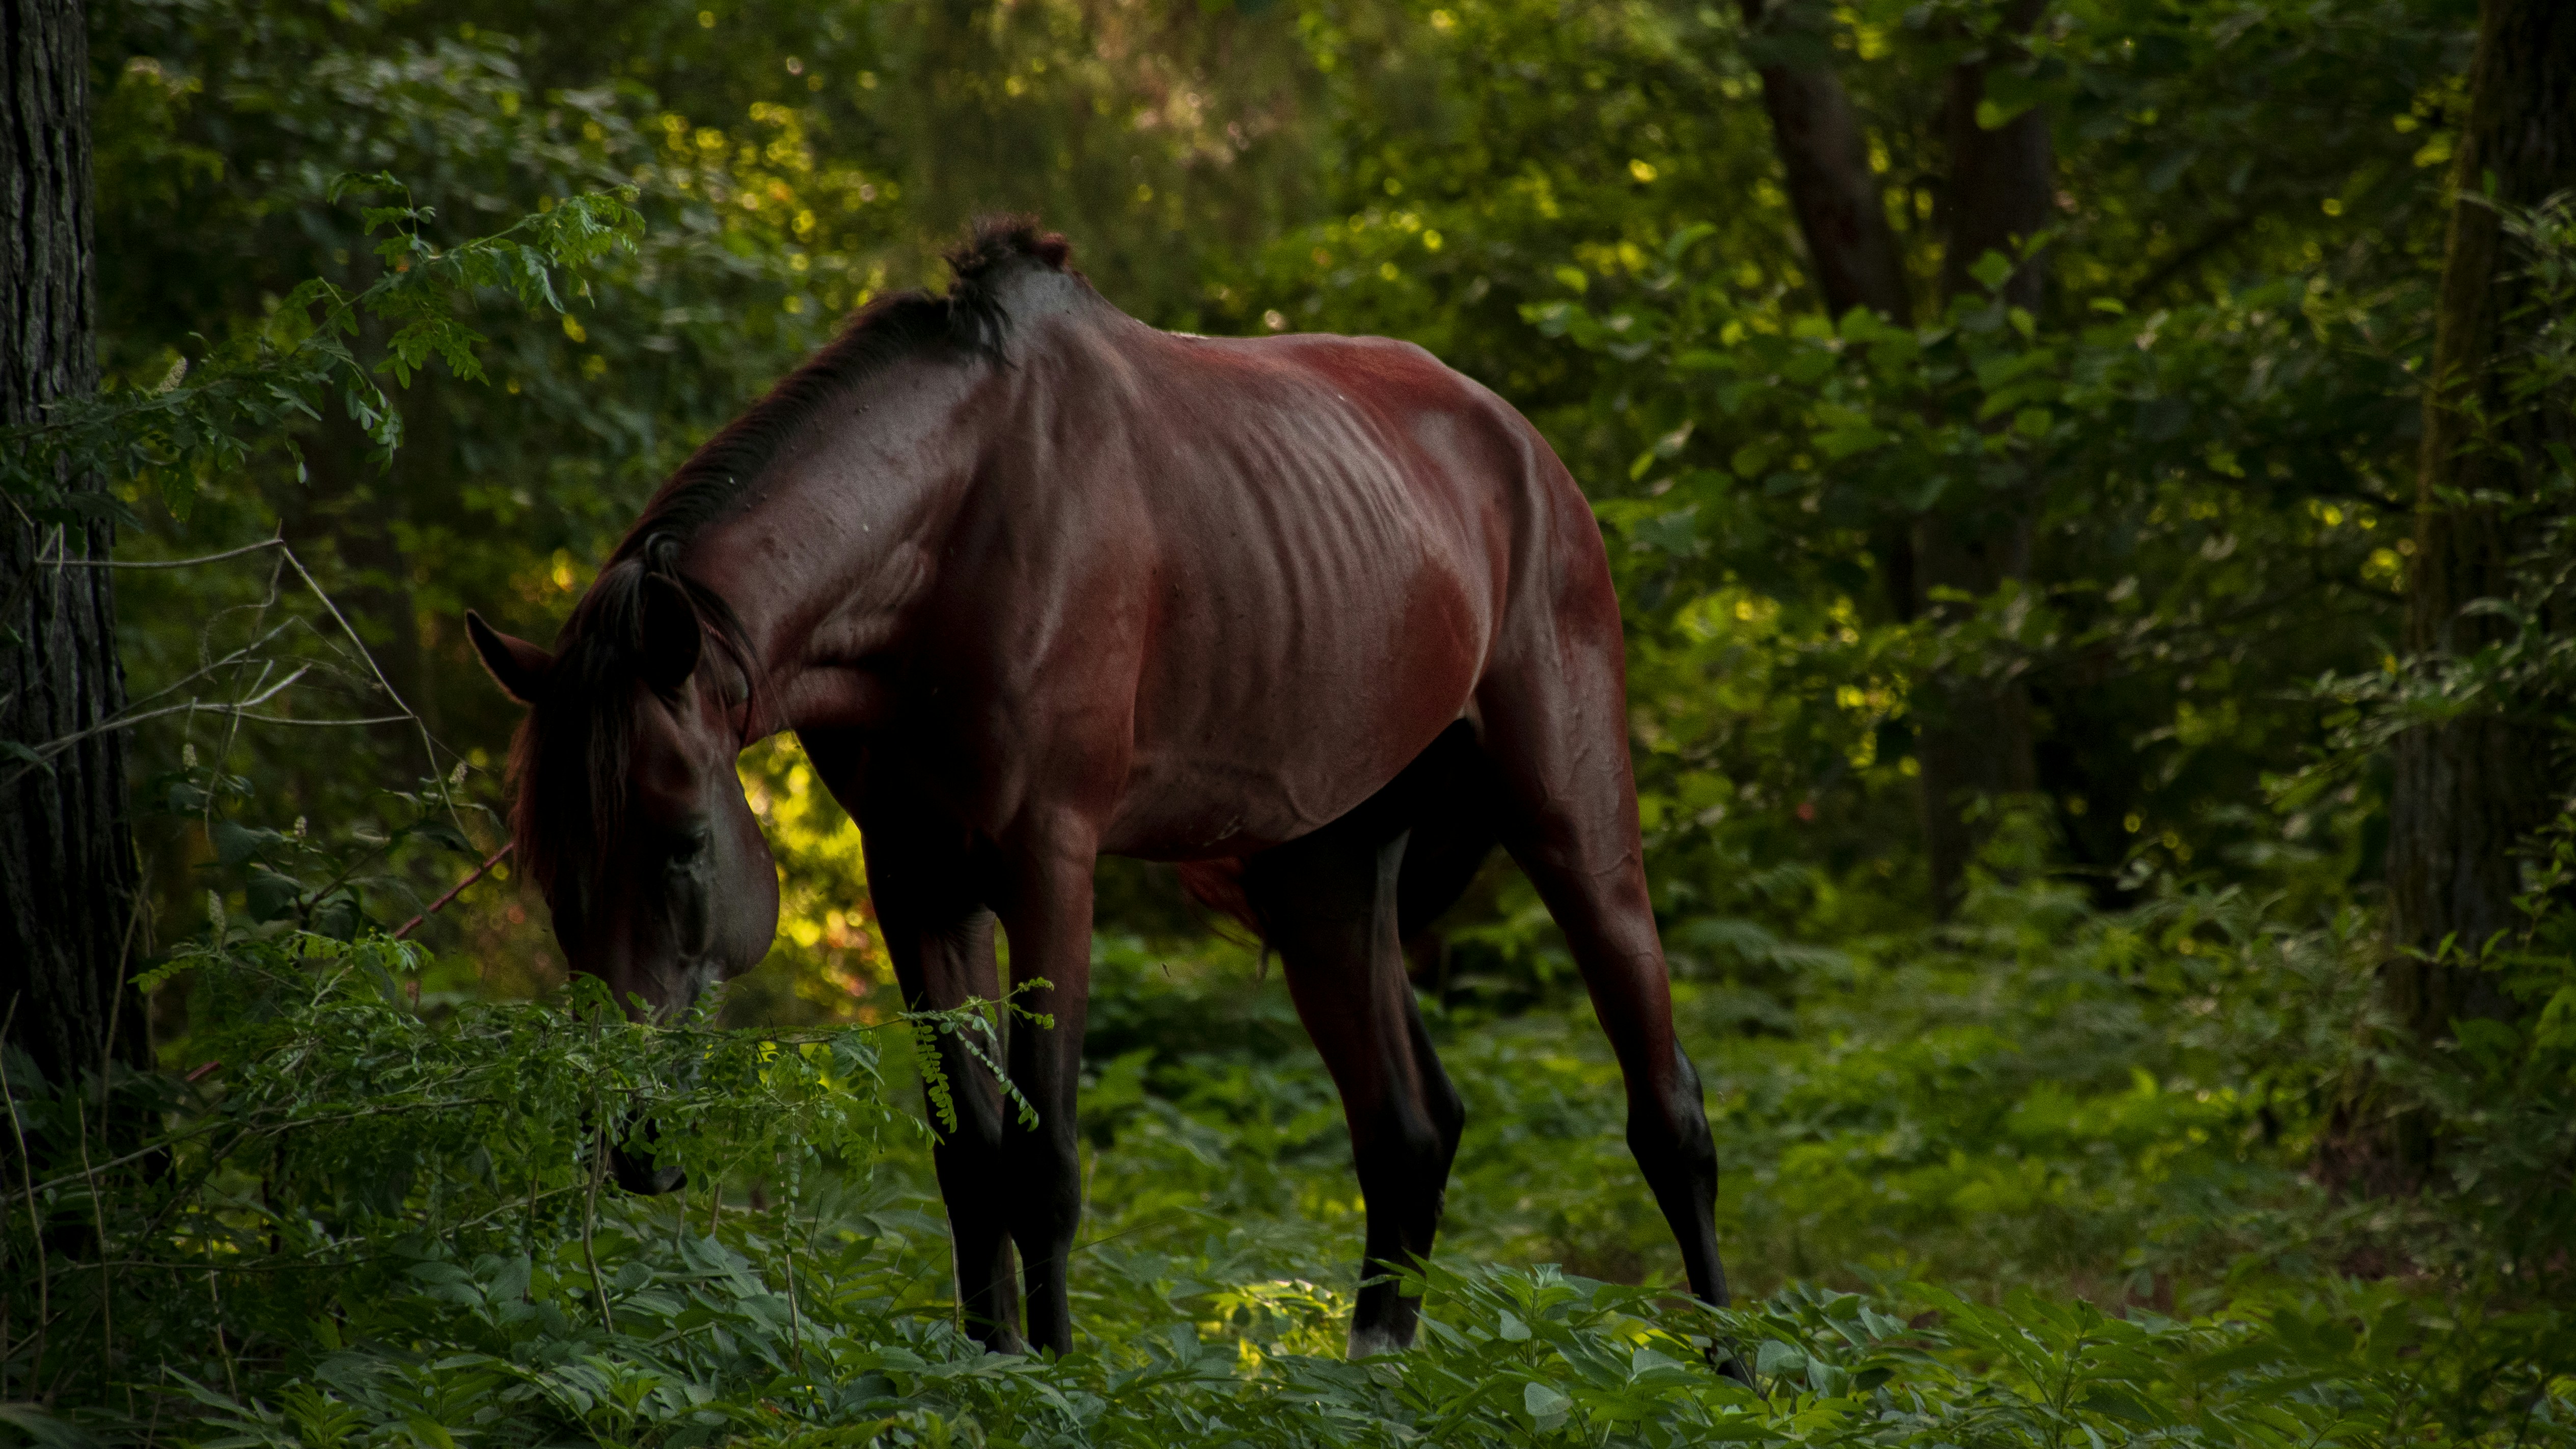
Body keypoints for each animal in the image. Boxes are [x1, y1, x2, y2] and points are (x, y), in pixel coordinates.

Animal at [466, 218, 1736, 1364]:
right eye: (551, 875)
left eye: (683, 843)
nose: (636, 1144)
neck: (957, 530)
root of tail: (1523, 450)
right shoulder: (916, 880)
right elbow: (969, 1163)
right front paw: (992, 1370)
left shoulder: (1050, 864)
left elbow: (1046, 1166)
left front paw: (1060, 1379)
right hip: (1323, 875)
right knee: (1407, 1133)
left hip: (1574, 824)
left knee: (1668, 1116)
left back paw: (1732, 1367)